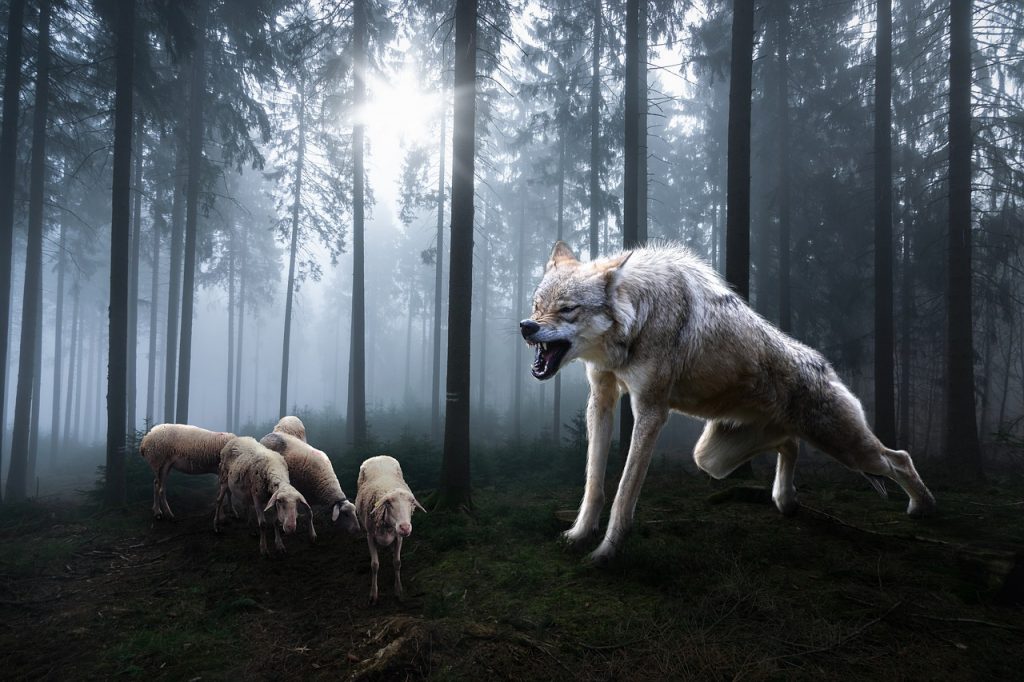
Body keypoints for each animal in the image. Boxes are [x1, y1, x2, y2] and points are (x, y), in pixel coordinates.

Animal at [355, 455, 425, 603]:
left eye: (412, 503)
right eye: (388, 503)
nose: (405, 527)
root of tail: (378, 456)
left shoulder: (399, 537)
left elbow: (397, 563)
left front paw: (398, 591)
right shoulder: (370, 536)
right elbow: (374, 565)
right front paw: (373, 594)